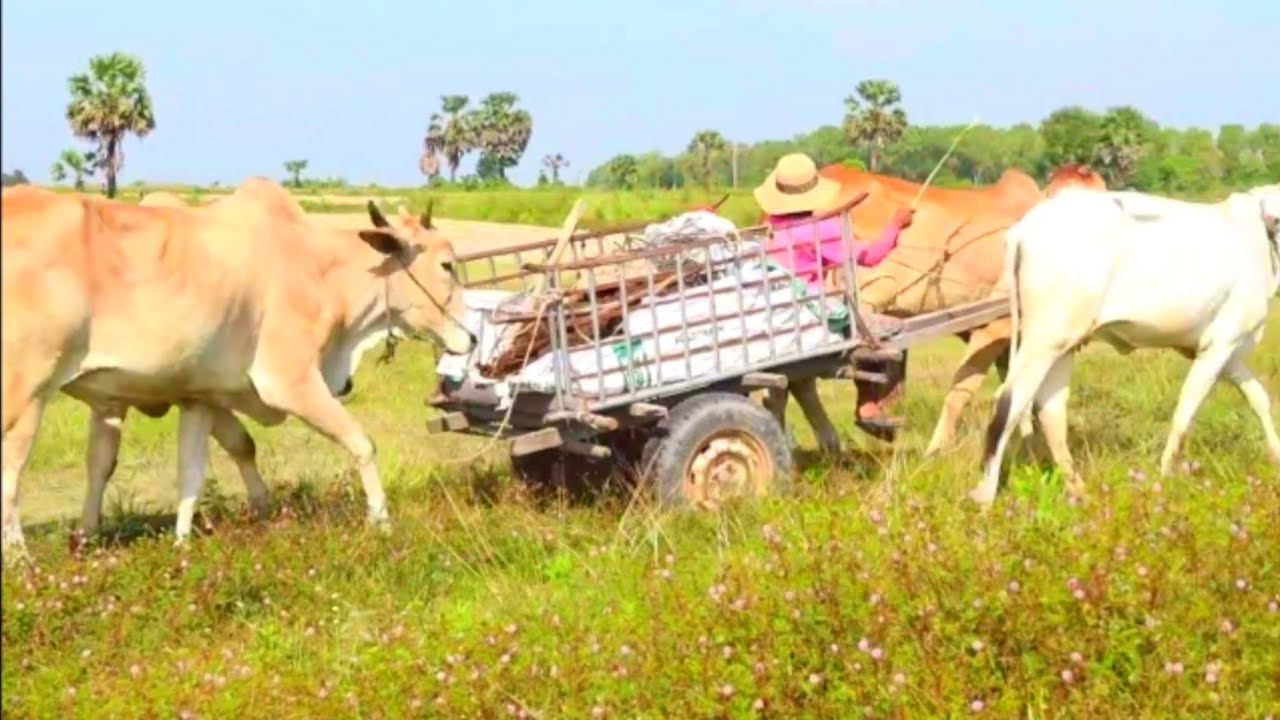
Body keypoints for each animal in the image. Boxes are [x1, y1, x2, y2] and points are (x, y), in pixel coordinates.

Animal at [1, 178, 475, 563]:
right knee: (12, 472)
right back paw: (22, 561)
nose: (470, 337)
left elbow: (196, 470)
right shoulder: (289, 380)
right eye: (447, 265)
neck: (319, 268)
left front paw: (184, 544)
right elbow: (362, 443)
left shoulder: (199, 397)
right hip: (25, 395)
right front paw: (381, 522)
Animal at [765, 164, 1107, 456]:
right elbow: (963, 391)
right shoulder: (998, 326)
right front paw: (935, 452)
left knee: (793, 383)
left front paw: (1028, 443)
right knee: (793, 383)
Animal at [973, 183, 1280, 506]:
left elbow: (1258, 398)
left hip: (1063, 344)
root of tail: (1024, 228)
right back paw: (985, 497)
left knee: (1050, 409)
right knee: (1008, 403)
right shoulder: (1220, 343)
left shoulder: (1228, 351)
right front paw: (1167, 472)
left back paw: (1077, 488)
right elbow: (1186, 409)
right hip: (1044, 340)